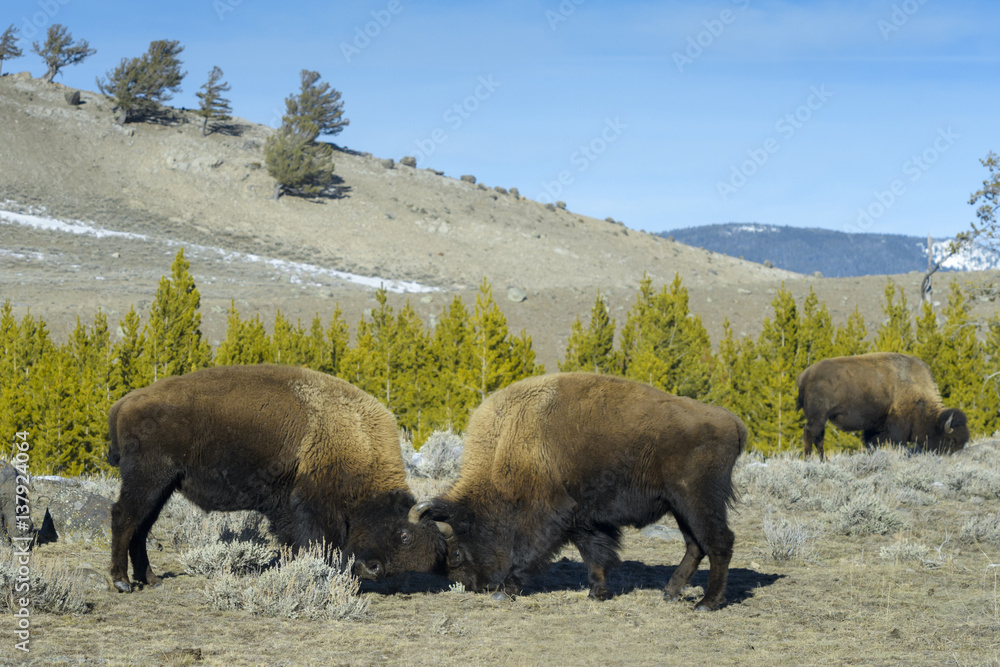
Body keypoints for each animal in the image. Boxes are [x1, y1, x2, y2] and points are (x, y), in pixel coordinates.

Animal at [107, 364, 444, 592]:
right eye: (404, 535)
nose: (373, 569)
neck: (357, 436)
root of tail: (126, 402)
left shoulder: (288, 509)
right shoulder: (312, 507)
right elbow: (316, 543)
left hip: (163, 487)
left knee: (141, 526)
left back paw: (149, 579)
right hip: (149, 479)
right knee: (124, 517)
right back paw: (122, 582)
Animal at [411, 373, 747, 611]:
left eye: (456, 552)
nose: (479, 587)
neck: (507, 439)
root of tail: (732, 421)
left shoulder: (548, 513)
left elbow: (530, 549)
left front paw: (508, 589)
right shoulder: (582, 518)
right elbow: (594, 554)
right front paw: (596, 593)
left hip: (697, 500)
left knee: (719, 542)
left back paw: (706, 603)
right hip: (680, 506)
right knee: (695, 545)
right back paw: (669, 593)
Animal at [797, 352, 970, 461]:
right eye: (951, 441)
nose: (953, 457)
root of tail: (806, 374)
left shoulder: (874, 428)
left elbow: (871, 443)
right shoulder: (898, 427)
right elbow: (897, 443)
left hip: (821, 419)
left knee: (818, 437)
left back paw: (823, 460)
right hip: (818, 417)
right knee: (810, 434)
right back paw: (808, 460)